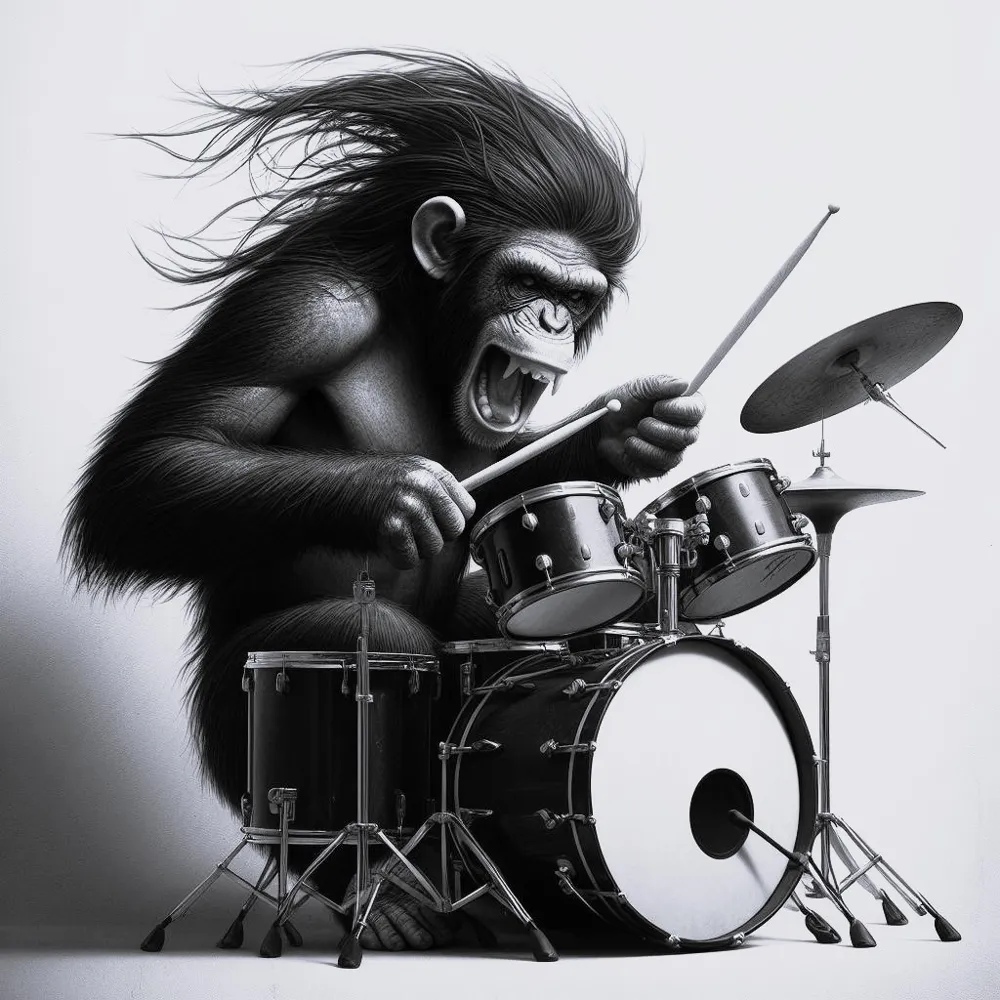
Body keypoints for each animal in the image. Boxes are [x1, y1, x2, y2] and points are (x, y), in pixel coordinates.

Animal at [64, 50, 705, 951]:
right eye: (527, 279)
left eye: (577, 298)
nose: (551, 317)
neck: (423, 326)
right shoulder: (297, 313)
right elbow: (147, 468)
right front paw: (396, 492)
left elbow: (509, 466)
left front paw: (630, 432)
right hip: (256, 692)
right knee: (367, 647)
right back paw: (378, 890)